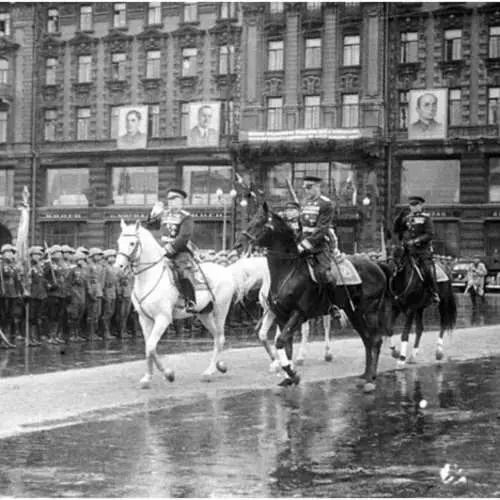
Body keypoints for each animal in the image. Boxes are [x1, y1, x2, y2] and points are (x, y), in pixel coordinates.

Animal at [115, 221, 244, 388]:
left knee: (220, 338)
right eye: (119, 242)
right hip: (204, 313)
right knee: (216, 337)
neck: (150, 277)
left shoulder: (163, 319)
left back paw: (210, 371)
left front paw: (168, 374)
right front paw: (148, 377)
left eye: (132, 243)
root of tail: (226, 270)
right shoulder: (145, 319)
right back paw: (219, 366)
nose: (118, 268)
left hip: (220, 310)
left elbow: (151, 346)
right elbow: (148, 347)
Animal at [238, 204, 390, 394]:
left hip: (370, 311)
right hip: (353, 312)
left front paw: (293, 374)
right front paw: (288, 376)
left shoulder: (298, 313)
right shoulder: (281, 316)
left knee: (375, 340)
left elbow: (280, 342)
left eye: (260, 223)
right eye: (251, 220)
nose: (240, 243)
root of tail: (377, 265)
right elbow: (285, 346)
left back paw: (370, 379)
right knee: (367, 340)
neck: (288, 271)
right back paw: (365, 374)